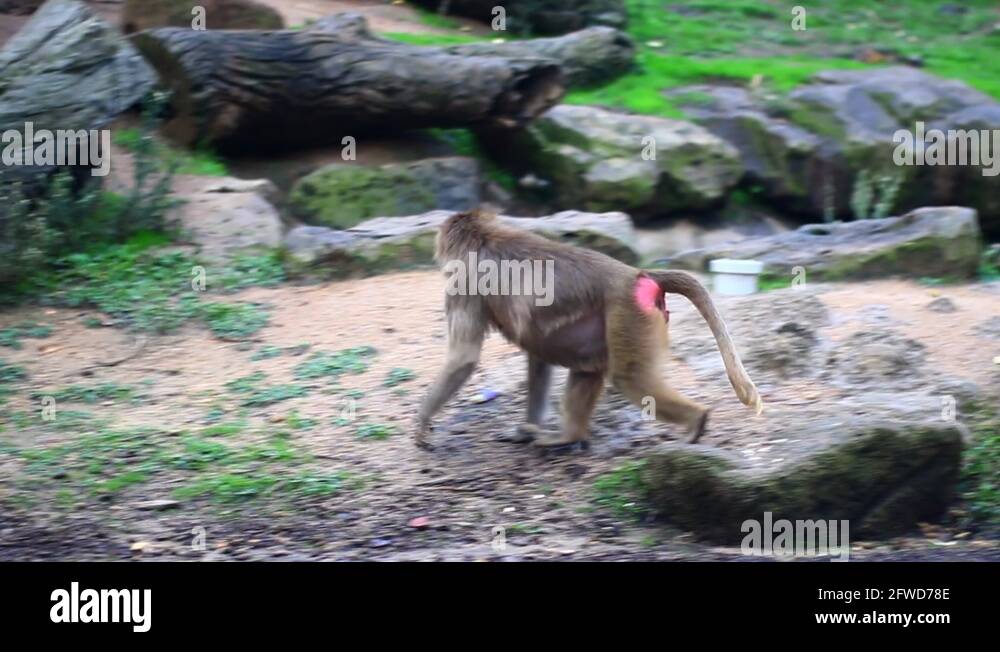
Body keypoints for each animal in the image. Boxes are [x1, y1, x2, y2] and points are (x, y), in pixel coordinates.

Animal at [415, 208, 762, 451]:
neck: (485, 237)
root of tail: (635, 274)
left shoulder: (463, 284)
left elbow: (463, 358)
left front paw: (422, 424)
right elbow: (538, 358)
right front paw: (526, 430)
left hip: (628, 314)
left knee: (628, 378)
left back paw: (696, 421)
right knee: (589, 367)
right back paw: (568, 436)